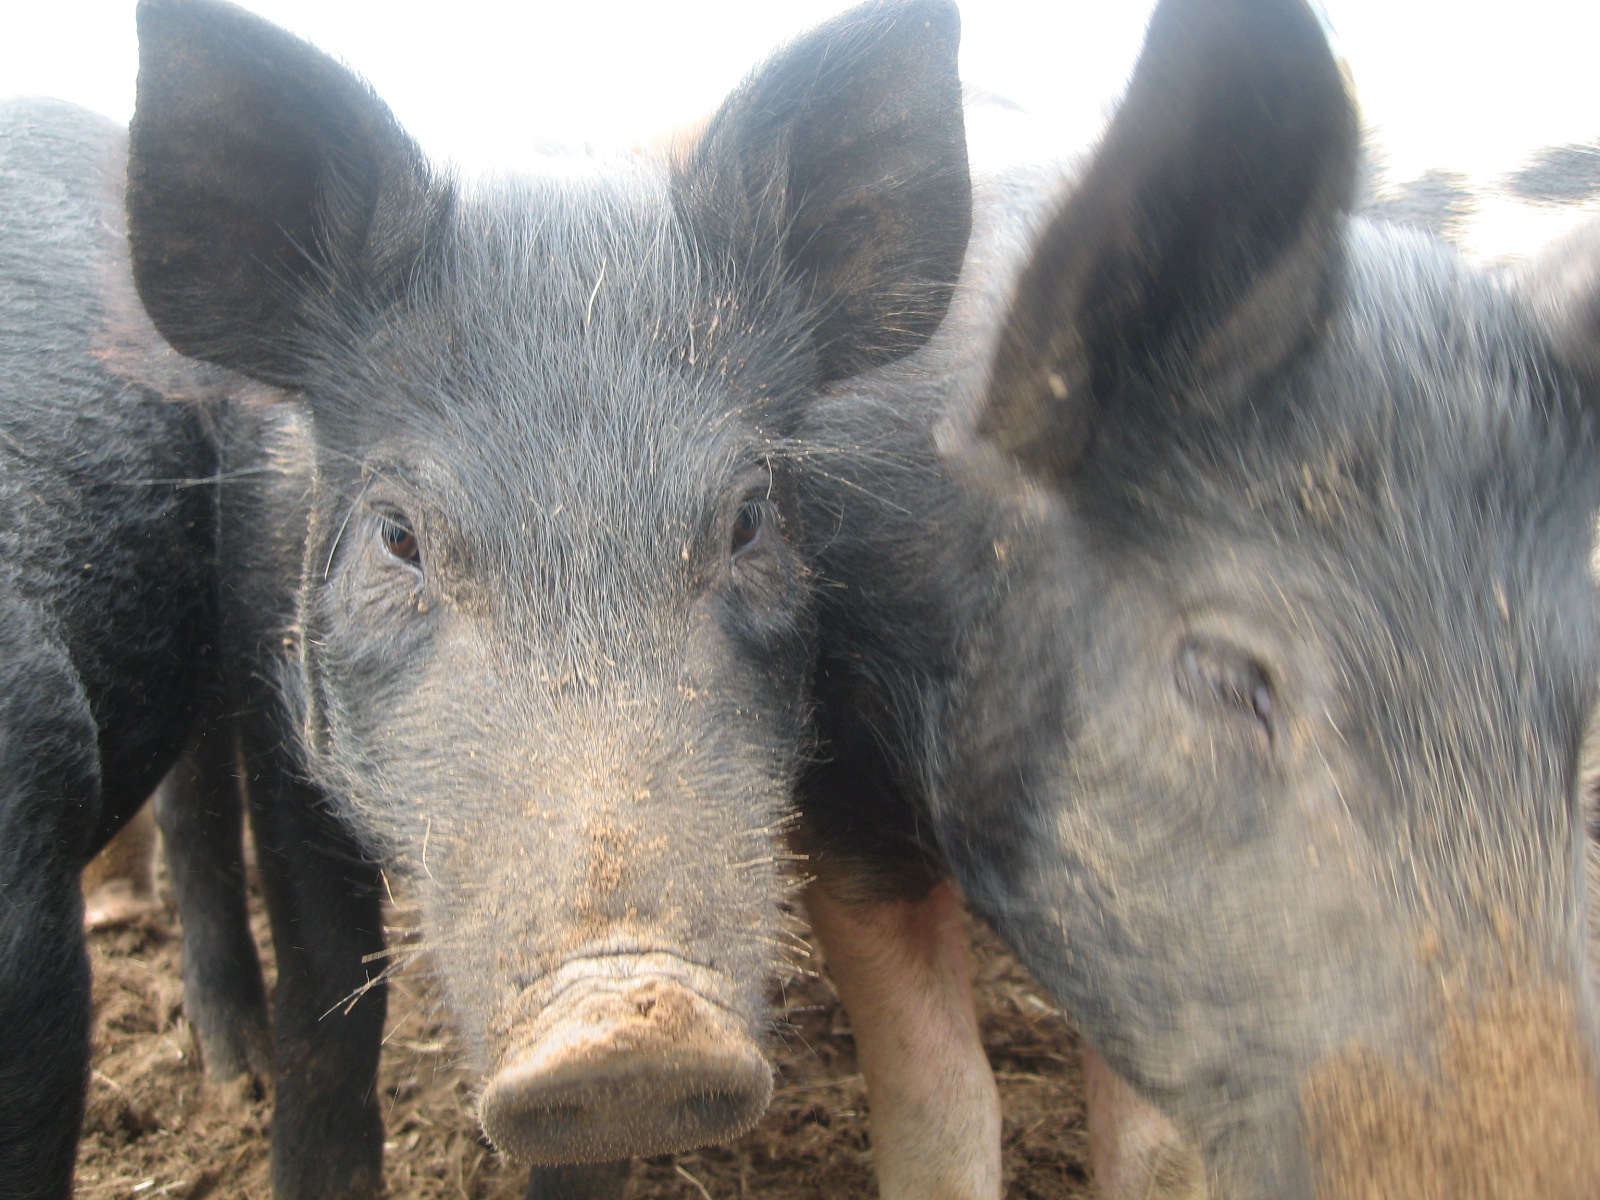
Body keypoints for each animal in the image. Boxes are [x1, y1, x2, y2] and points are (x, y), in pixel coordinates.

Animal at [121, 0, 970, 1196]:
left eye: (749, 519)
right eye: (399, 536)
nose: (629, 1033)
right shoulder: (272, 683)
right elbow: (330, 1001)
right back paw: (230, 1070)